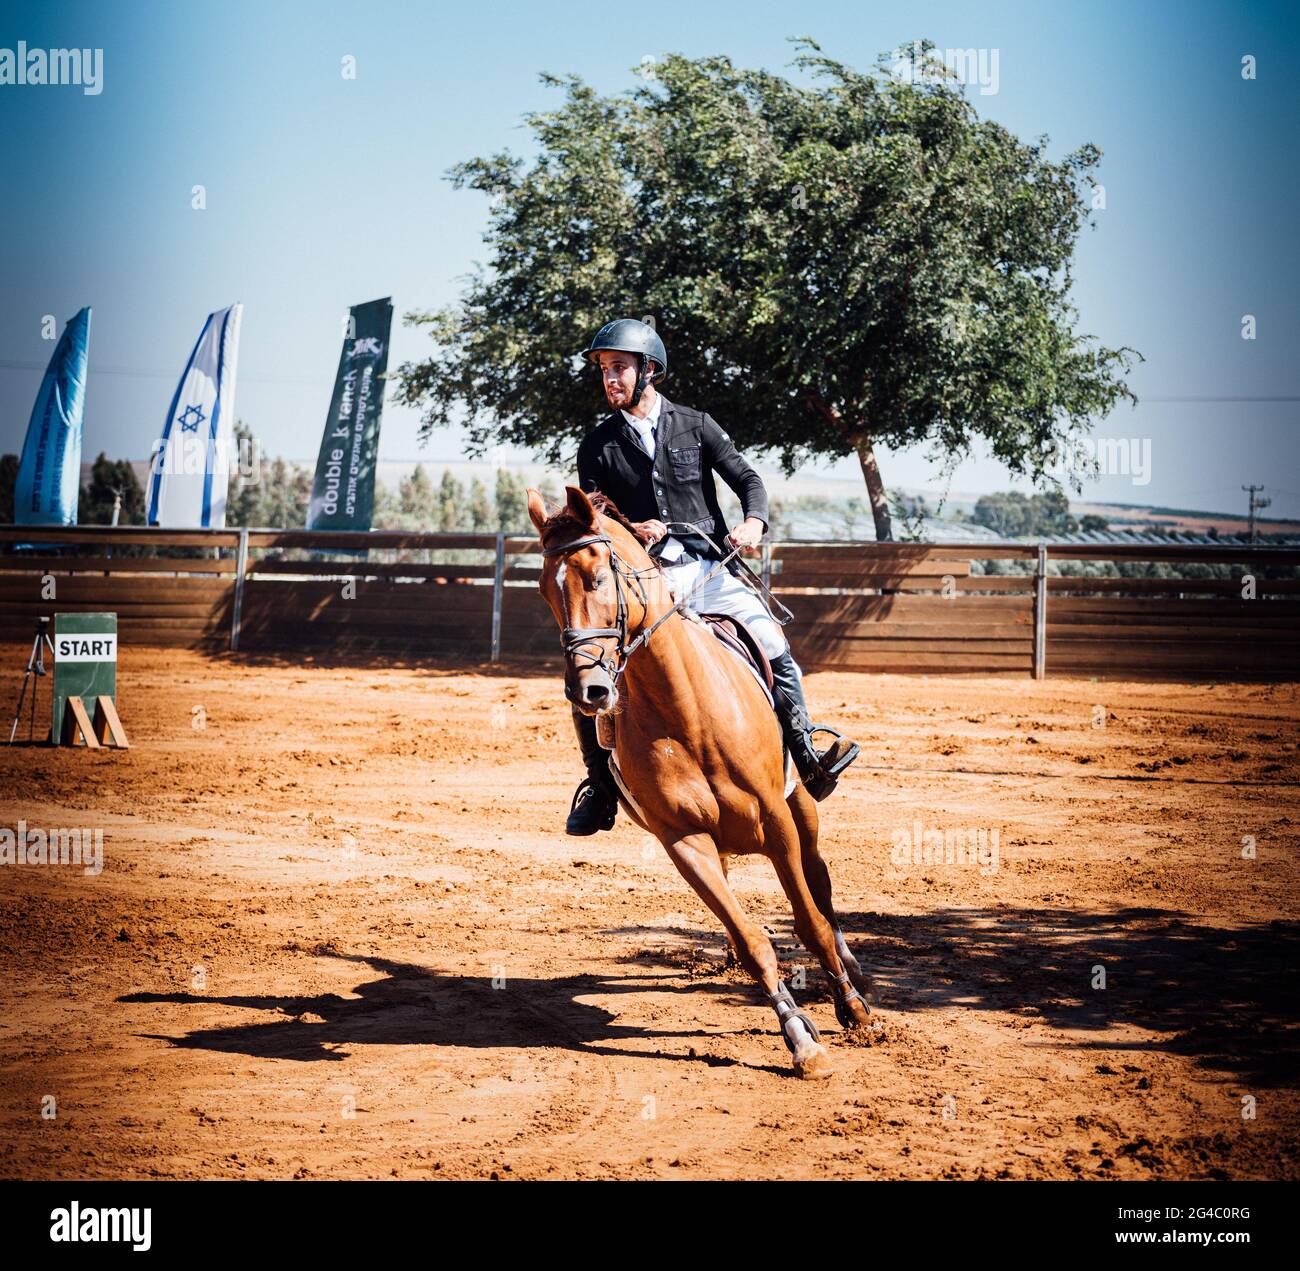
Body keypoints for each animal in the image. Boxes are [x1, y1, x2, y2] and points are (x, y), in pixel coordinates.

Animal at [528, 484, 875, 1078]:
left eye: (596, 578)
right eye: (546, 594)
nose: (589, 691)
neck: (686, 710)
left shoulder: (776, 821)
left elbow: (808, 920)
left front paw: (850, 1007)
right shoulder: (683, 842)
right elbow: (752, 938)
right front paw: (800, 1038)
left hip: (803, 812)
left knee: (822, 890)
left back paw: (852, 971)